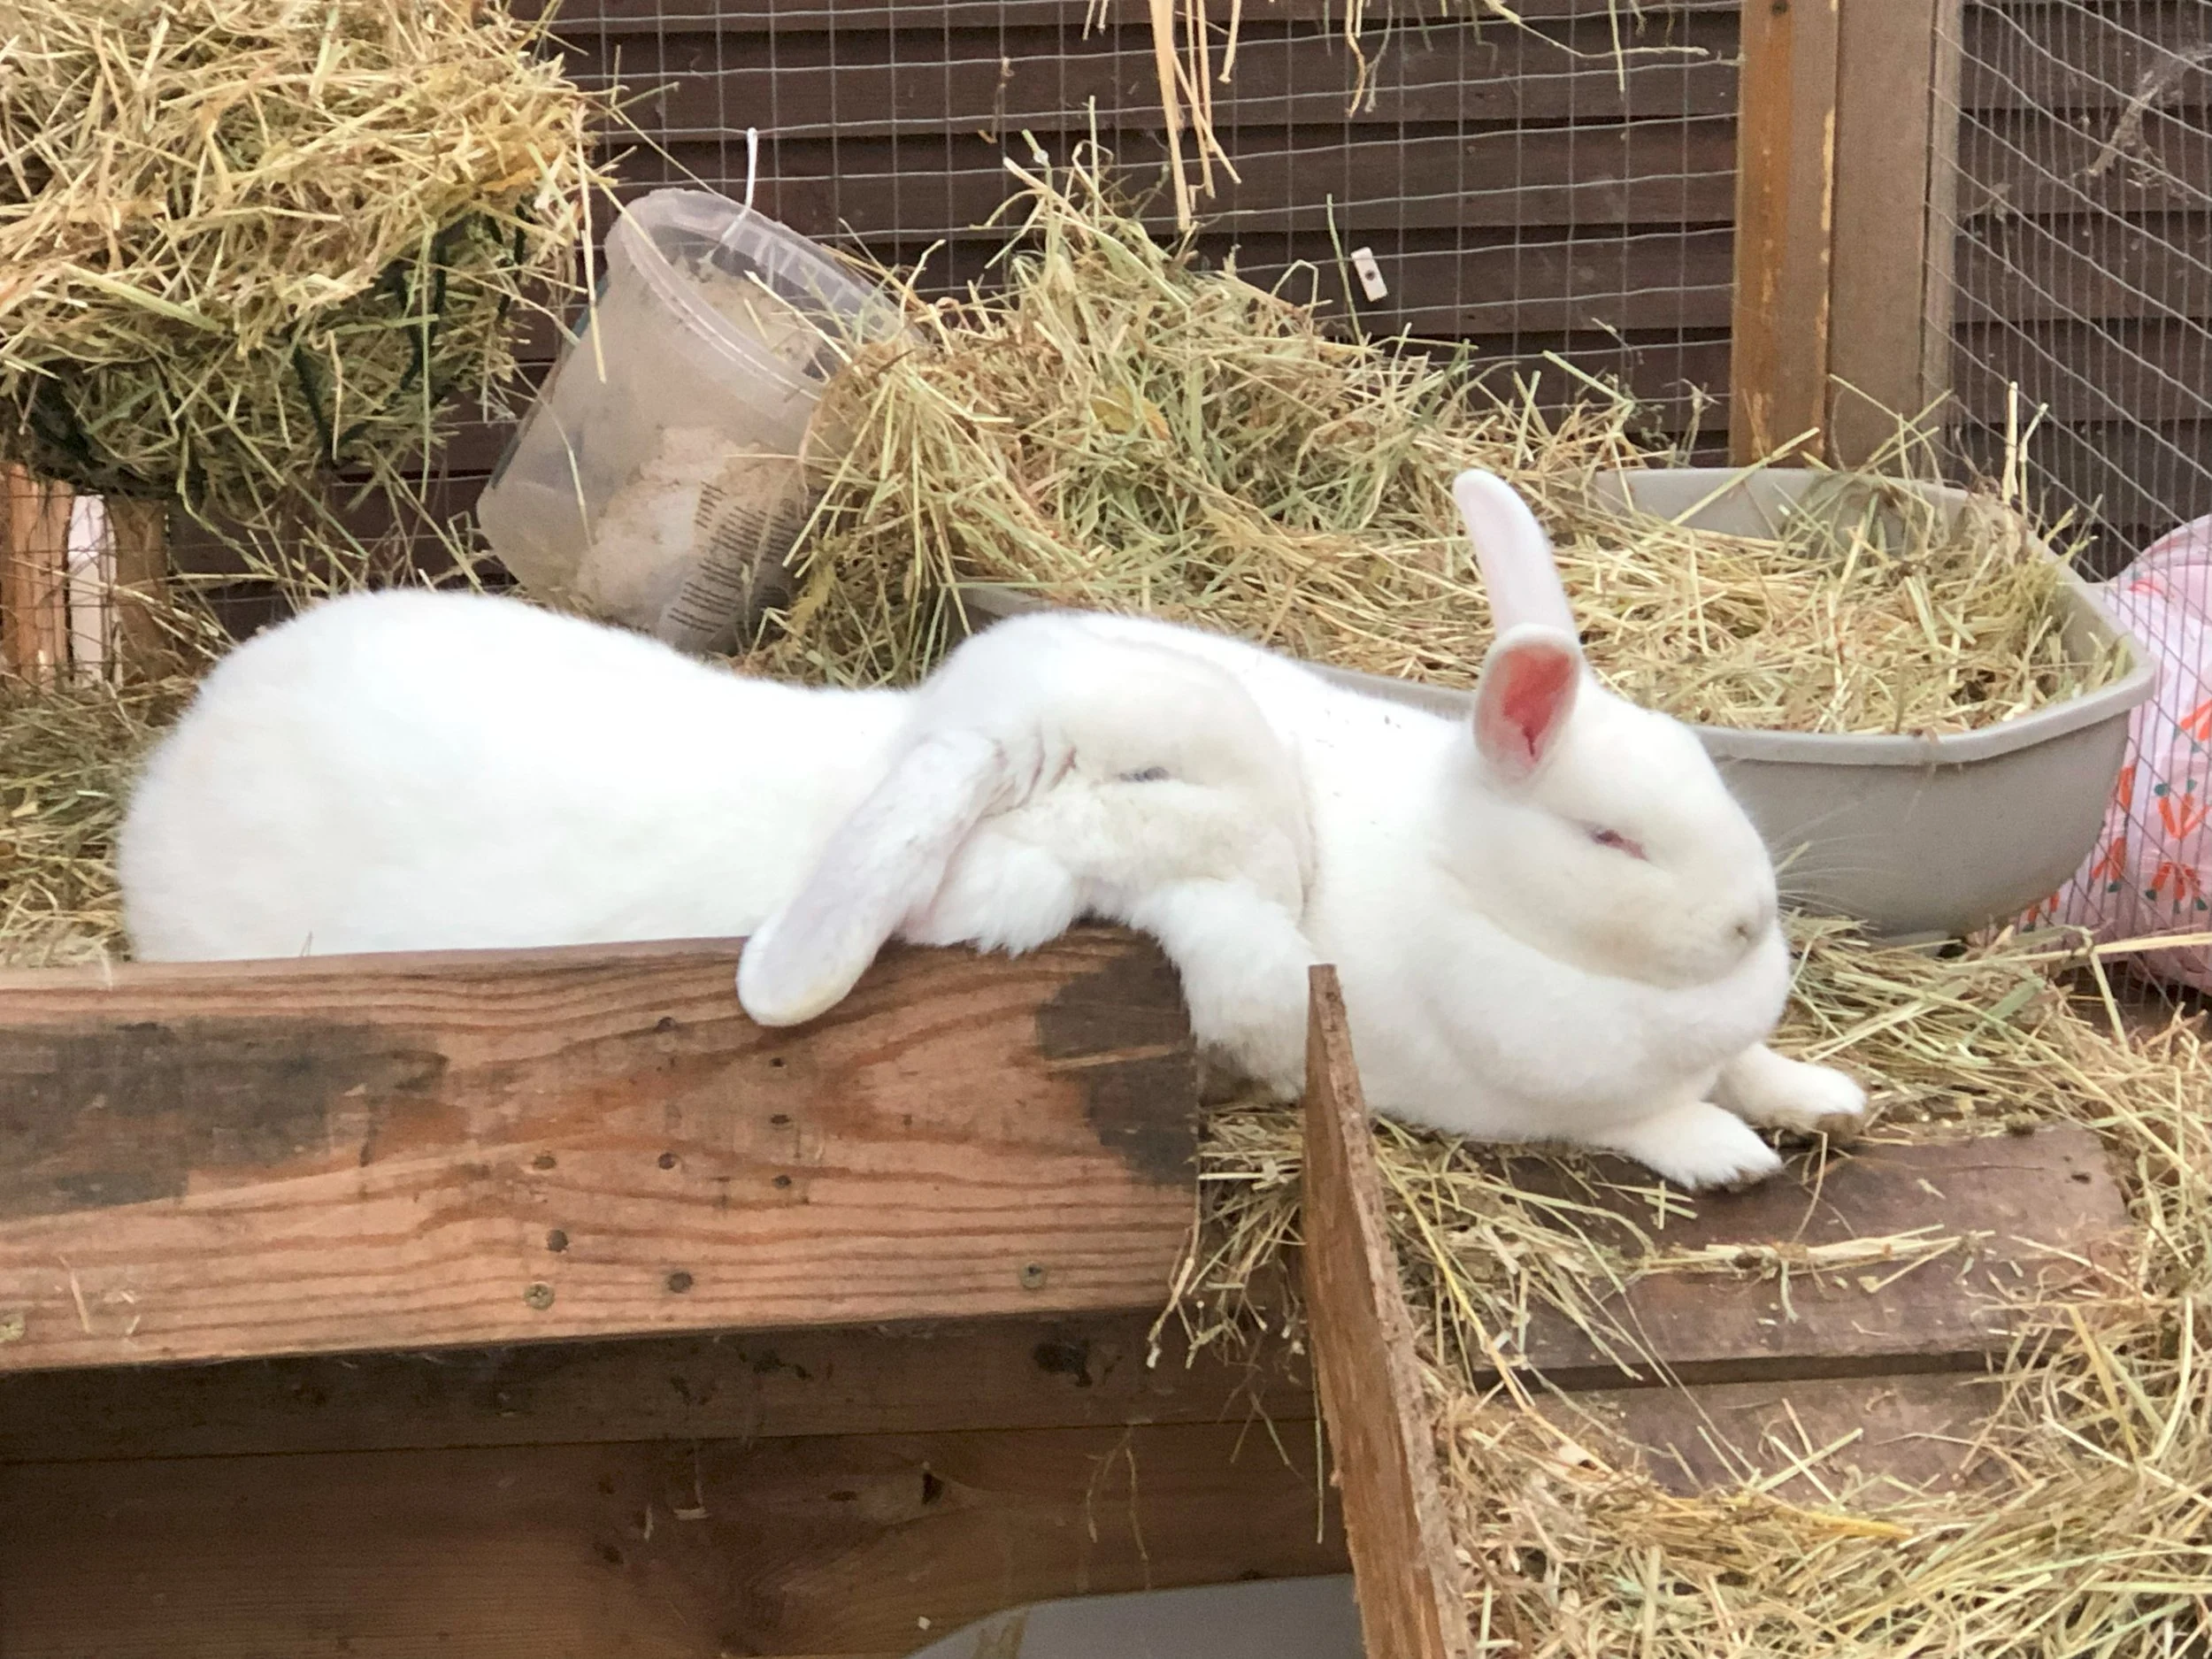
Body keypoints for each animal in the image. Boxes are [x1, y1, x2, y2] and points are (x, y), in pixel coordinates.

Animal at [1011, 470, 1868, 1191]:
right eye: (1609, 838)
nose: (1749, 921)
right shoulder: (1551, 1104)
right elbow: (1647, 1117)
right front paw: (1731, 1156)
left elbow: (1751, 1064)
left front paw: (1830, 1101)